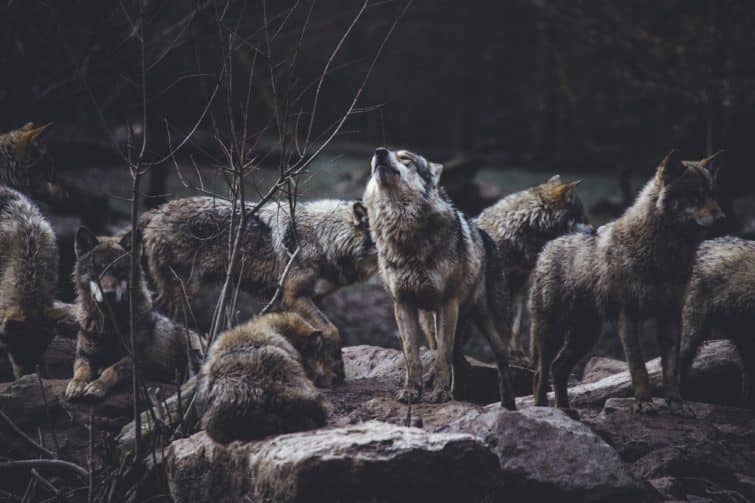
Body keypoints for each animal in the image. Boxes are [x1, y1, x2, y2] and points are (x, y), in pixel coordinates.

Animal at [65, 227, 204, 400]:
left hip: (194, 350)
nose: (108, 294)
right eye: (98, 270)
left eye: (119, 270)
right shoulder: (84, 355)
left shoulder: (135, 358)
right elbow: (81, 371)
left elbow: (112, 369)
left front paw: (97, 386)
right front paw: (76, 385)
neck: (110, 326)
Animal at [140, 197, 377, 386]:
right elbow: (332, 330)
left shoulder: (314, 298)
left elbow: (320, 336)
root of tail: (157, 210)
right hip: (183, 292)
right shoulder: (294, 296)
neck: (324, 238)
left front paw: (328, 373)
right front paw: (335, 371)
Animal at [362, 147, 515, 408]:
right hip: (434, 324)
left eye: (406, 158)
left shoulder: (447, 304)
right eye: (382, 153)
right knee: (460, 362)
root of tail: (487, 237)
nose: (379, 152)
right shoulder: (402, 304)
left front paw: (440, 394)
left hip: (491, 329)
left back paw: (508, 407)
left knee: (502, 368)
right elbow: (412, 356)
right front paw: (412, 391)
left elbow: (442, 358)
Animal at [475, 175, 588, 353]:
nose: (594, 229)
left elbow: (516, 323)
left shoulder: (521, 283)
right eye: (582, 215)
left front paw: (516, 349)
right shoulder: (504, 283)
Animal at [529, 150, 724, 414]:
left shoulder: (670, 316)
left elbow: (671, 370)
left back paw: (565, 410)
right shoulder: (628, 316)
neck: (664, 252)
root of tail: (549, 245)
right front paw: (644, 403)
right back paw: (543, 410)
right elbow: (638, 366)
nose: (722, 217)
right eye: (696, 195)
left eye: (712, 194)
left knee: (558, 368)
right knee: (541, 373)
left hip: (586, 336)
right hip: (552, 332)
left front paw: (676, 404)